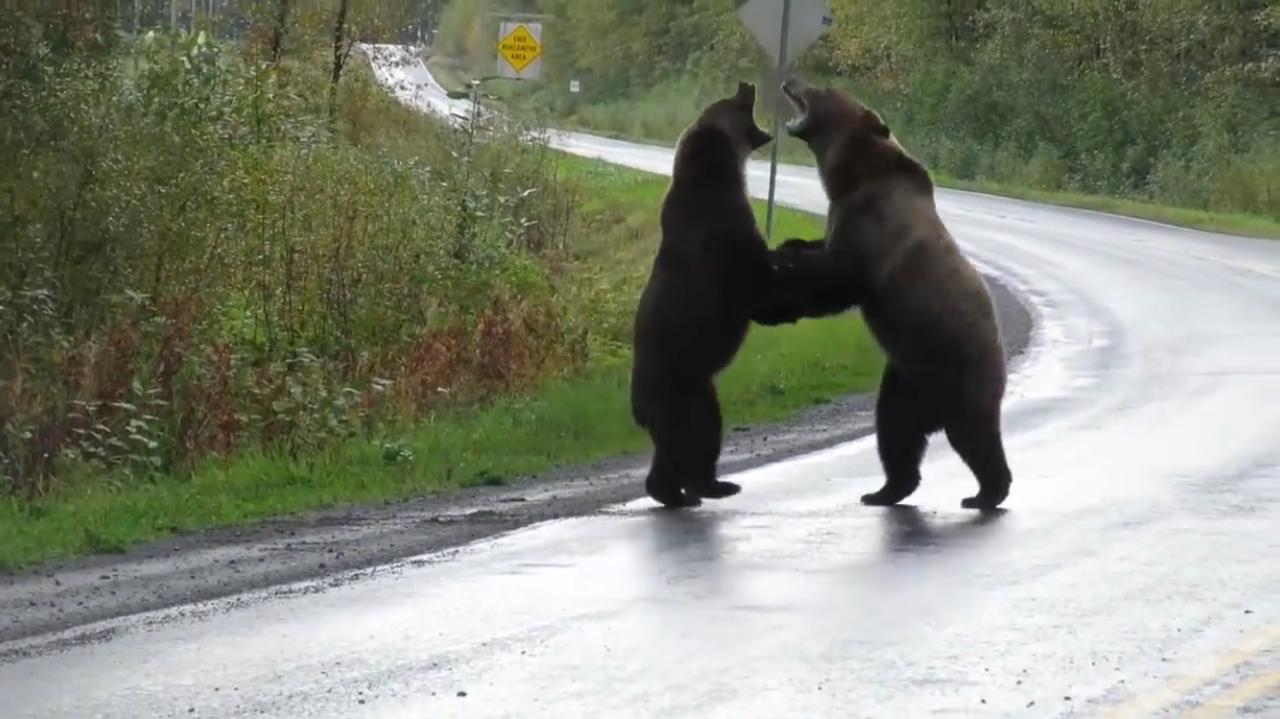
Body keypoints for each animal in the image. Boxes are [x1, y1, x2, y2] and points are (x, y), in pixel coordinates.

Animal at [630, 80, 800, 509]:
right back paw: (678, 492)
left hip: (699, 388)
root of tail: (638, 403)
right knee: (682, 442)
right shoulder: (728, 235)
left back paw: (711, 485)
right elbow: (760, 288)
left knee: (706, 435)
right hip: (678, 386)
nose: (747, 83)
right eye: (728, 101)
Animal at [763, 76, 1014, 511]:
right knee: (896, 431)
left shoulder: (872, 227)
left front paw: (781, 288)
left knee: (975, 436)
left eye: (823, 88)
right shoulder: (843, 215)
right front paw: (789, 247)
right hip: (906, 379)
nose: (791, 78)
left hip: (962, 370)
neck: (850, 174)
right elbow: (821, 251)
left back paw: (984, 493)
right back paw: (886, 490)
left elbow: (838, 280)